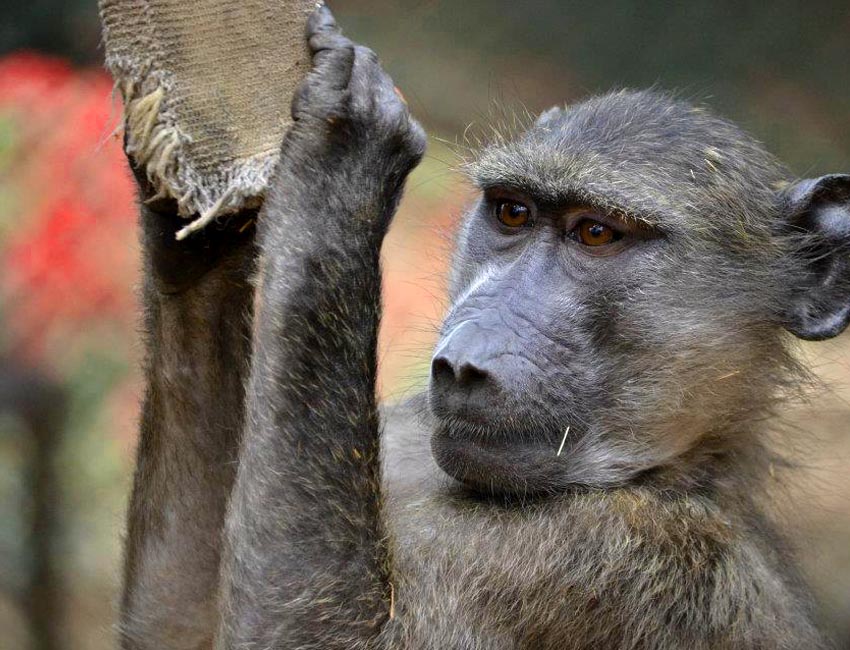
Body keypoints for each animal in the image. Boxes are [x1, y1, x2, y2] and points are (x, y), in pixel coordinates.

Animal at [117, 5, 850, 650]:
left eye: (596, 233)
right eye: (512, 212)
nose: (463, 363)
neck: (669, 466)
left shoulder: (624, 558)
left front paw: (343, 158)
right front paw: (189, 188)